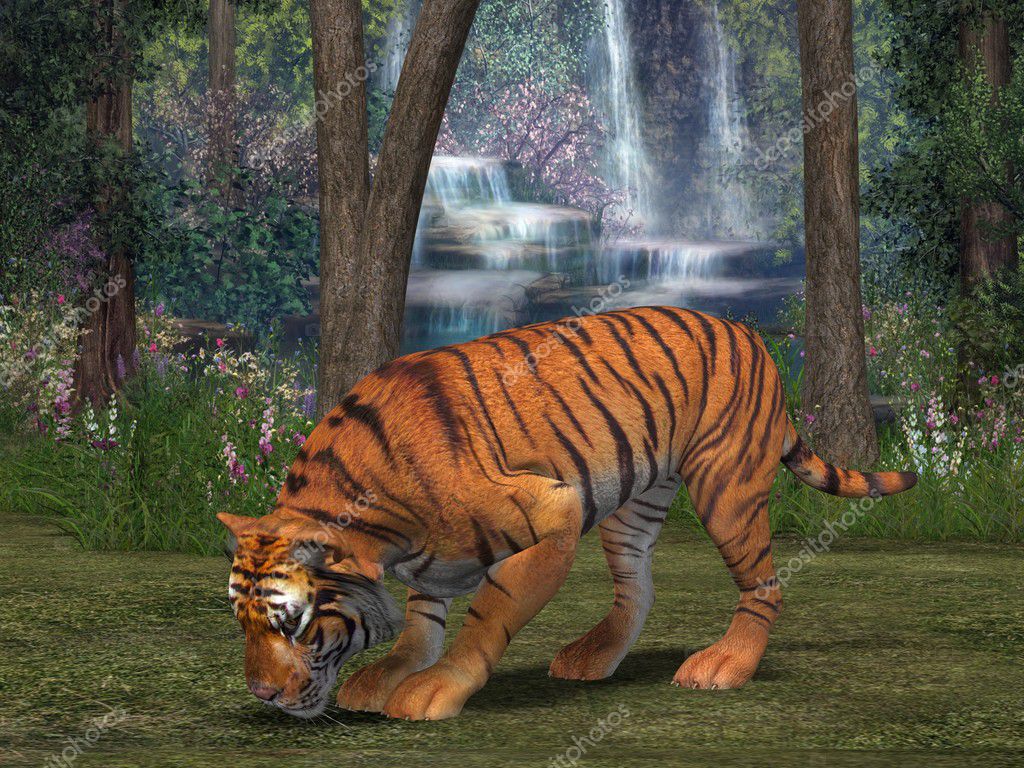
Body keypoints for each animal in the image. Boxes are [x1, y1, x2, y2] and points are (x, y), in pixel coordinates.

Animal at [218, 305, 917, 720]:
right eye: (242, 624)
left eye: (293, 624)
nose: (261, 694)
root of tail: (748, 331)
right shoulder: (430, 564)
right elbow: (422, 621)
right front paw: (389, 673)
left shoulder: (554, 514)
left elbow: (485, 620)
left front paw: (434, 688)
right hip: (635, 499)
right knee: (637, 587)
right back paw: (594, 656)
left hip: (727, 489)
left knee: (764, 584)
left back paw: (725, 665)